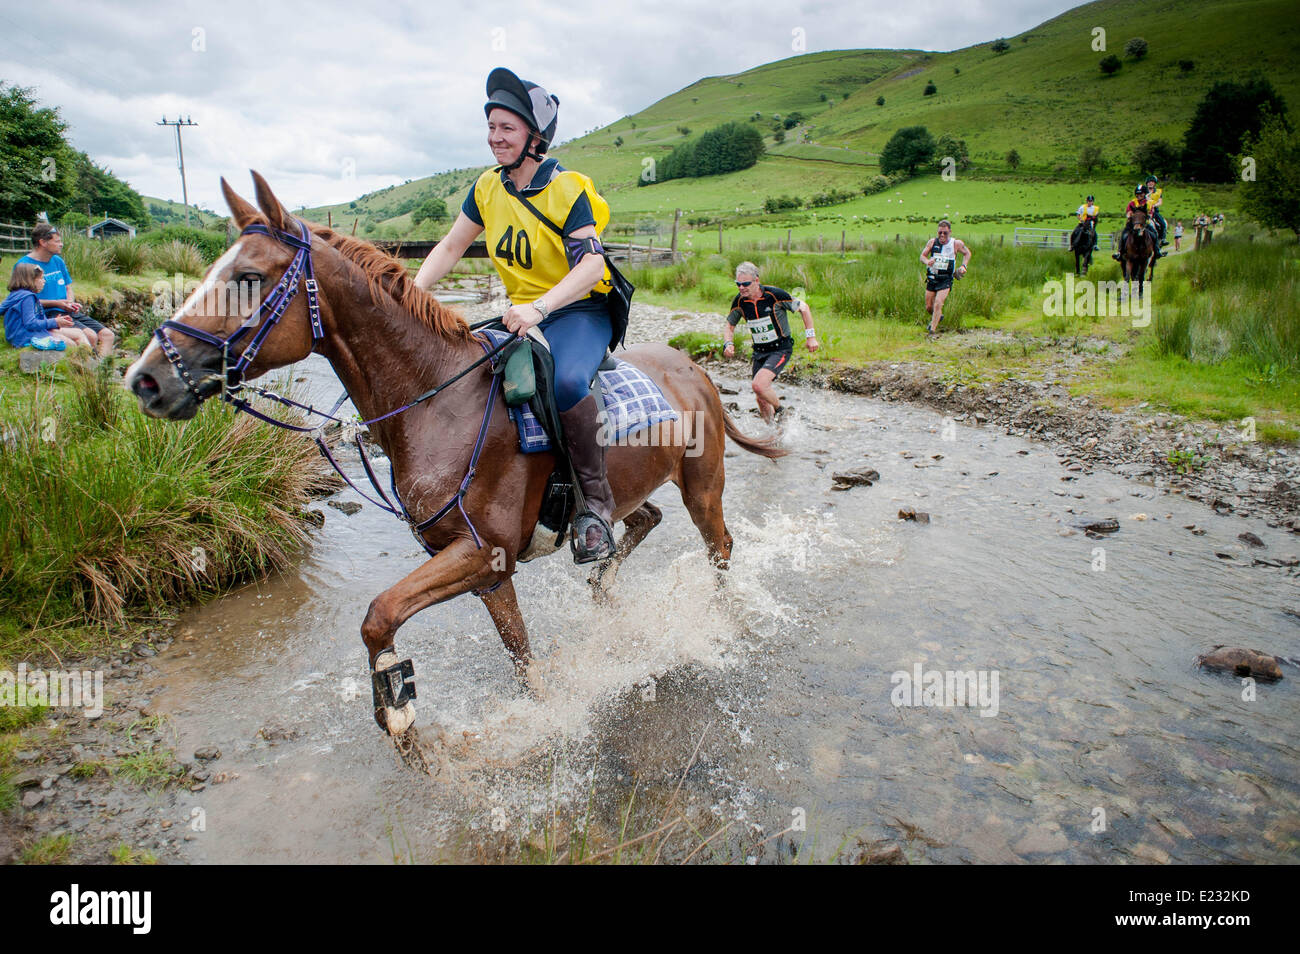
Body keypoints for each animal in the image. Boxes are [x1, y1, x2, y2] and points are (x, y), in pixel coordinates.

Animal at [124, 171, 786, 737]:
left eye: (248, 277)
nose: (146, 379)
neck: (439, 403)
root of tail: (694, 368)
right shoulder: (484, 571)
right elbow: (517, 656)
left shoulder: (482, 554)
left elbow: (380, 613)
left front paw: (400, 715)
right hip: (629, 492)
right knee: (643, 521)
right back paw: (604, 585)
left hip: (703, 486)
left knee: (720, 547)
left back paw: (713, 616)